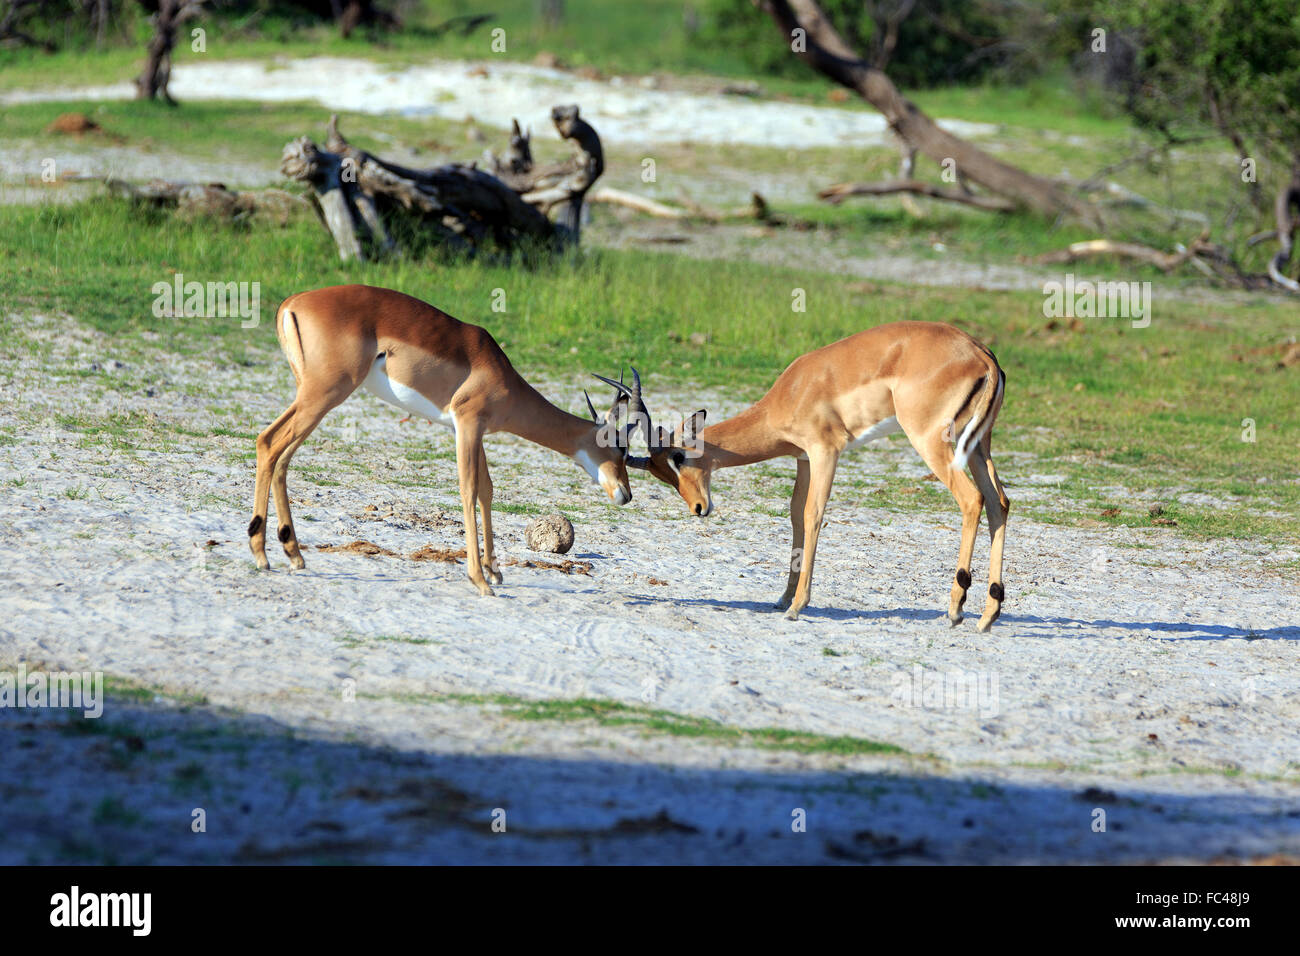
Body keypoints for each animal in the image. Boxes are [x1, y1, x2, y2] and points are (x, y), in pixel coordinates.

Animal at [248, 284, 640, 595]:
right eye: (619, 447)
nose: (625, 494)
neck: (501, 376)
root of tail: (293, 302)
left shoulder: (470, 430)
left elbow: (487, 490)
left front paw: (495, 572)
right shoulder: (468, 424)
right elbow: (468, 489)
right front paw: (480, 580)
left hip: (312, 396)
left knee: (281, 455)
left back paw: (293, 554)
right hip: (324, 394)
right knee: (269, 442)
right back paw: (261, 554)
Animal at [626, 321, 1009, 628]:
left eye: (679, 458)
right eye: (661, 474)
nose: (698, 508)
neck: (795, 390)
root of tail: (981, 354)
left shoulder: (825, 451)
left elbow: (813, 514)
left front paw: (796, 606)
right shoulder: (804, 458)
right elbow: (796, 515)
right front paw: (783, 598)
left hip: (932, 441)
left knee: (971, 499)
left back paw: (956, 609)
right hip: (978, 445)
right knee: (999, 503)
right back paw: (988, 614)